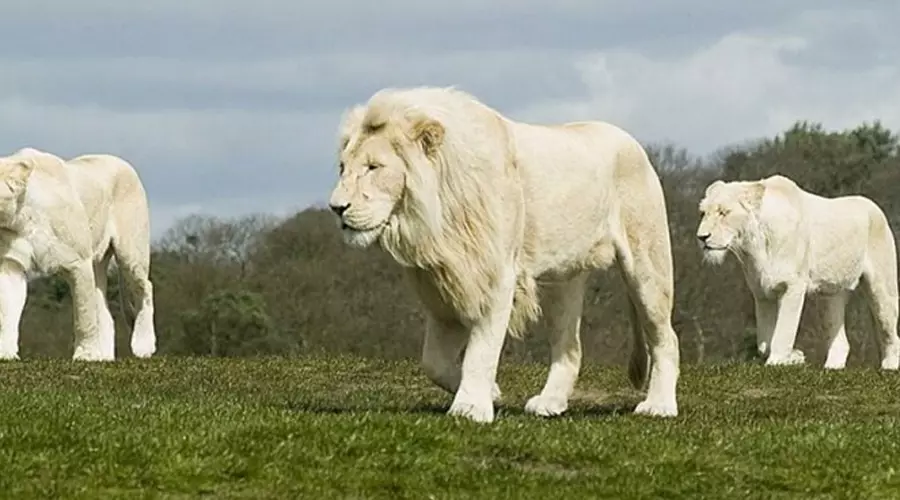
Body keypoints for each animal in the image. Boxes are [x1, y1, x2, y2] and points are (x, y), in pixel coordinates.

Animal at [0, 146, 156, 362]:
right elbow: (7, 311)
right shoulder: (11, 264)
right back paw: (104, 357)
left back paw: (143, 345)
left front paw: (86, 354)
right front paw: (5, 353)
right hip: (98, 264)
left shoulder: (78, 262)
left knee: (145, 288)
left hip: (131, 252)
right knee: (104, 311)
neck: (19, 218)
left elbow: (84, 314)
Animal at [330, 86, 684, 422]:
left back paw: (659, 406)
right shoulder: (446, 287)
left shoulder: (494, 275)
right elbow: (433, 361)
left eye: (373, 167)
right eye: (343, 167)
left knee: (665, 337)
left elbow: (481, 350)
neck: (431, 221)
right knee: (569, 347)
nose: (336, 208)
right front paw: (492, 393)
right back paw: (550, 403)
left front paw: (471, 408)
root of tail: (633, 143)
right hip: (562, 278)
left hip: (646, 262)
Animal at [696, 174, 900, 370]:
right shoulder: (762, 292)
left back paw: (889, 366)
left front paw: (778, 361)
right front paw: (795, 357)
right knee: (840, 339)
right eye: (704, 213)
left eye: (723, 212)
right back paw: (831, 368)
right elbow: (763, 343)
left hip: (881, 287)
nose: (701, 237)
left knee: (889, 329)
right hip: (830, 294)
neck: (754, 245)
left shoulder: (792, 286)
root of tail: (874, 207)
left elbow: (783, 331)